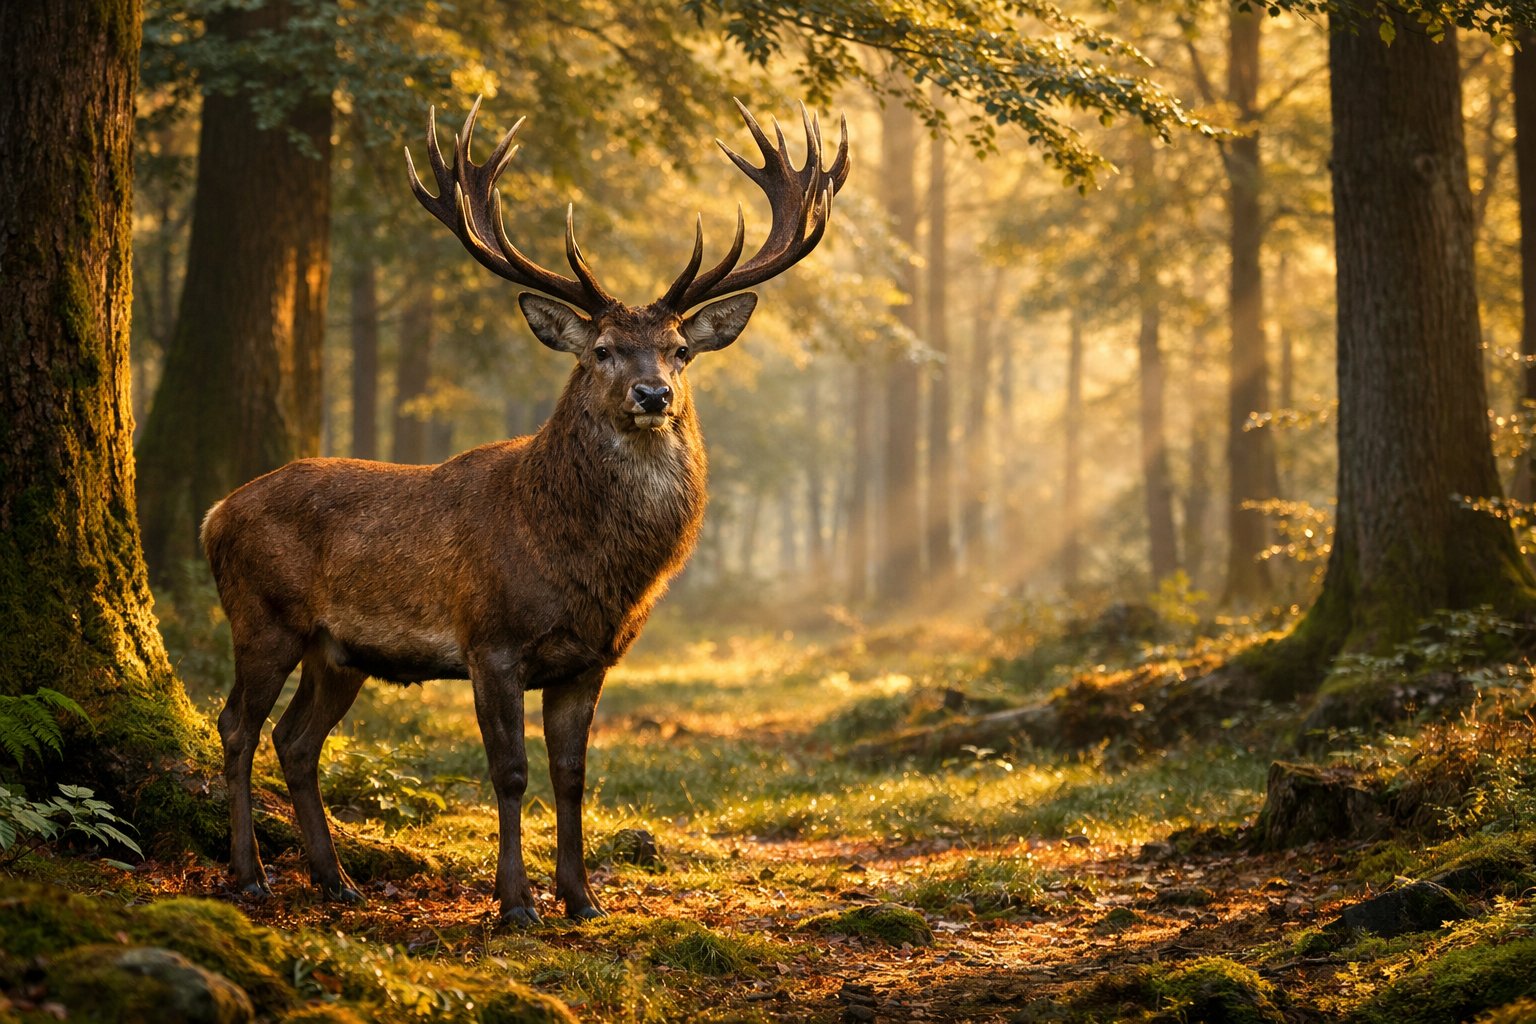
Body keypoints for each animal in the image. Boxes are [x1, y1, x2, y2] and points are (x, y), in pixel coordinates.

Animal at [201, 98, 848, 927]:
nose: (652, 395)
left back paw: (335, 879)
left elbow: (571, 774)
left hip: (337, 651)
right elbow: (509, 772)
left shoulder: (590, 659)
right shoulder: (492, 639)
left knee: (296, 738)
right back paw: (250, 873)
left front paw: (582, 898)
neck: (575, 560)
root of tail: (215, 514)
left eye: (680, 350)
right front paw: (515, 904)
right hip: (263, 617)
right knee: (236, 726)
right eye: (601, 349)